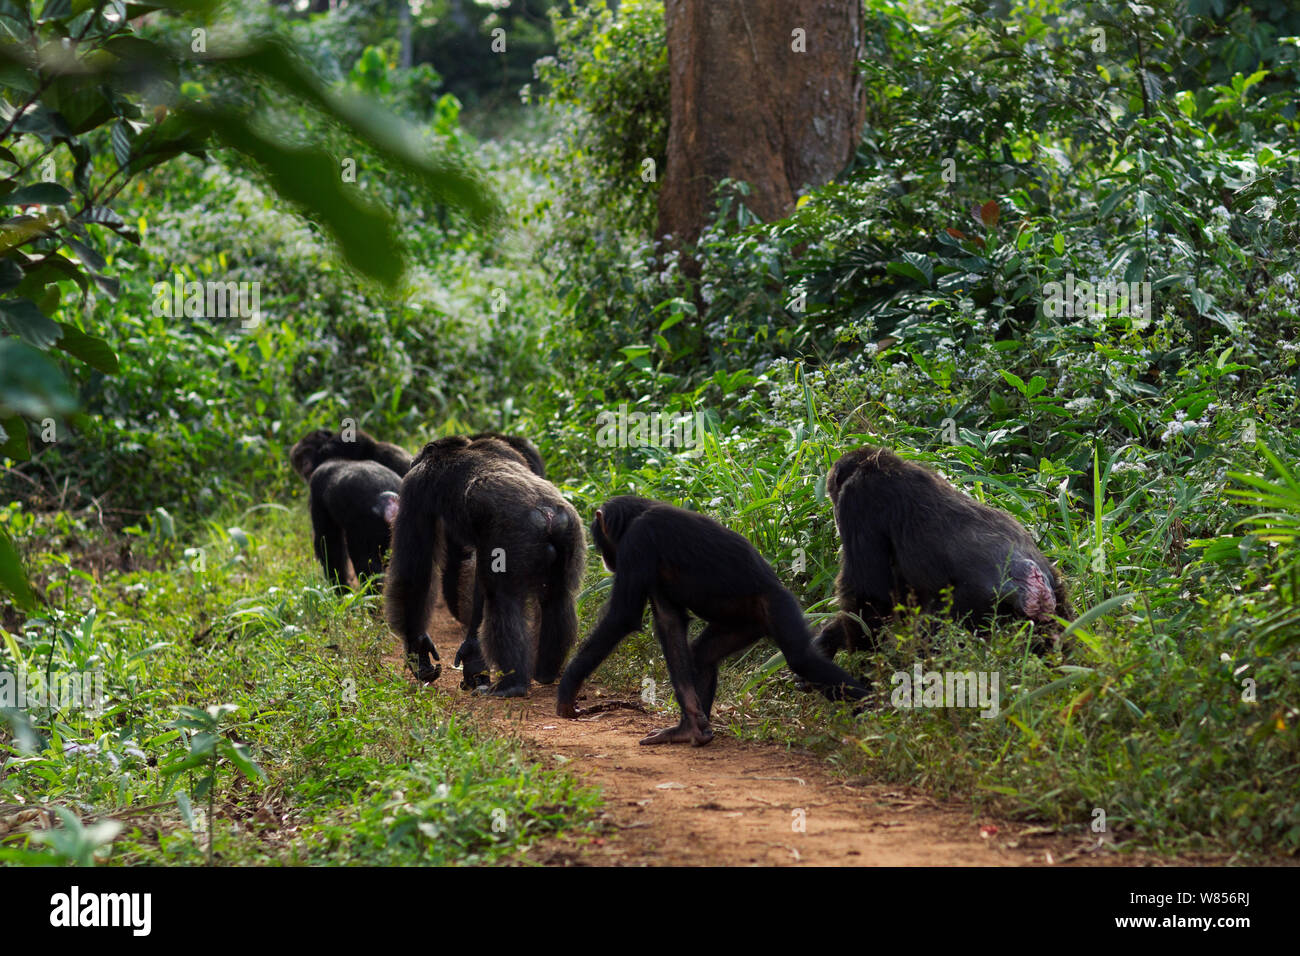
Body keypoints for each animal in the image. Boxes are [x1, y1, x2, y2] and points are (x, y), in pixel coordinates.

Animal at [384, 435, 585, 692]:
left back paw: (512, 685)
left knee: (501, 599)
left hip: (515, 540)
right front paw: (472, 660)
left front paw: (419, 650)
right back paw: (546, 672)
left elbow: (414, 571)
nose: (411, 461)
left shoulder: (414, 486)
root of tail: (547, 515)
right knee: (558, 597)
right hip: (571, 533)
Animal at [556, 496, 872, 746]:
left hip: (777, 604)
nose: (604, 559)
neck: (636, 516)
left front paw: (568, 688)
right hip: (742, 626)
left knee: (803, 658)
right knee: (703, 656)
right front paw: (690, 724)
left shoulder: (638, 541)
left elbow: (623, 616)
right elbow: (670, 623)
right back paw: (687, 729)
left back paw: (874, 710)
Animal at [813, 446, 1071, 663]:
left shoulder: (856, 500)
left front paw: (856, 652)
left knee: (930, 641)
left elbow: (869, 592)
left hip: (968, 605)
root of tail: (1028, 575)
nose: (834, 515)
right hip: (1056, 593)